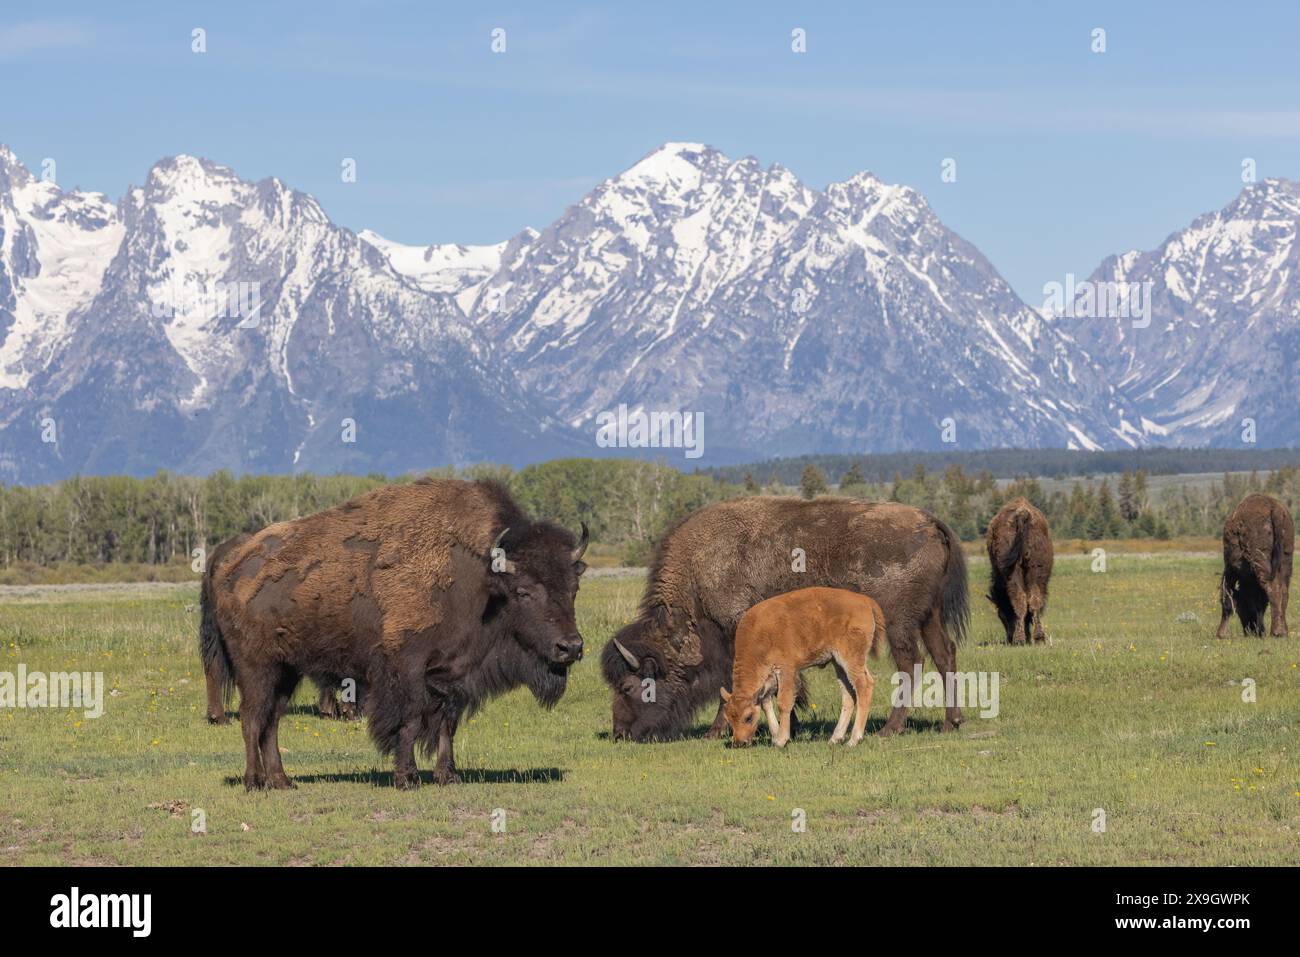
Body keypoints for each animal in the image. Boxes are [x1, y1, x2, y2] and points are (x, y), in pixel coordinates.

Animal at [201, 478, 588, 789]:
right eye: (523, 591)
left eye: (574, 588)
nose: (570, 647)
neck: (480, 582)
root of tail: (231, 566)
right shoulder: (407, 669)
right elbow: (410, 722)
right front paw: (408, 777)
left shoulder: (451, 676)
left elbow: (446, 724)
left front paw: (448, 776)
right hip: (256, 668)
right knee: (252, 717)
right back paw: (255, 781)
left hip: (287, 672)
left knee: (271, 722)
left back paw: (282, 781)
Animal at [600, 496, 968, 742]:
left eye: (628, 686)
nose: (620, 733)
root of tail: (930, 522)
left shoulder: (734, 633)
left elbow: (733, 683)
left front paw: (716, 730)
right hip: (929, 617)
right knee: (944, 654)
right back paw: (951, 723)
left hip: (897, 621)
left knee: (911, 662)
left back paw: (891, 728)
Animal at [985, 497, 1053, 644]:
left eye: (1001, 614)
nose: (1008, 638)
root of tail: (1022, 514)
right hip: (1035, 569)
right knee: (1033, 600)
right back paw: (1037, 638)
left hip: (1012, 572)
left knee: (1020, 600)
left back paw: (1019, 639)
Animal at [1217, 493, 1293, 638]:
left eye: (1242, 607)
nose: (1253, 630)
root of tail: (1275, 508)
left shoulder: (1230, 570)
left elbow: (1226, 598)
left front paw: (1221, 634)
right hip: (1286, 559)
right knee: (1284, 591)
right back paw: (1283, 631)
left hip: (1261, 560)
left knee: (1273, 589)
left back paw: (1276, 632)